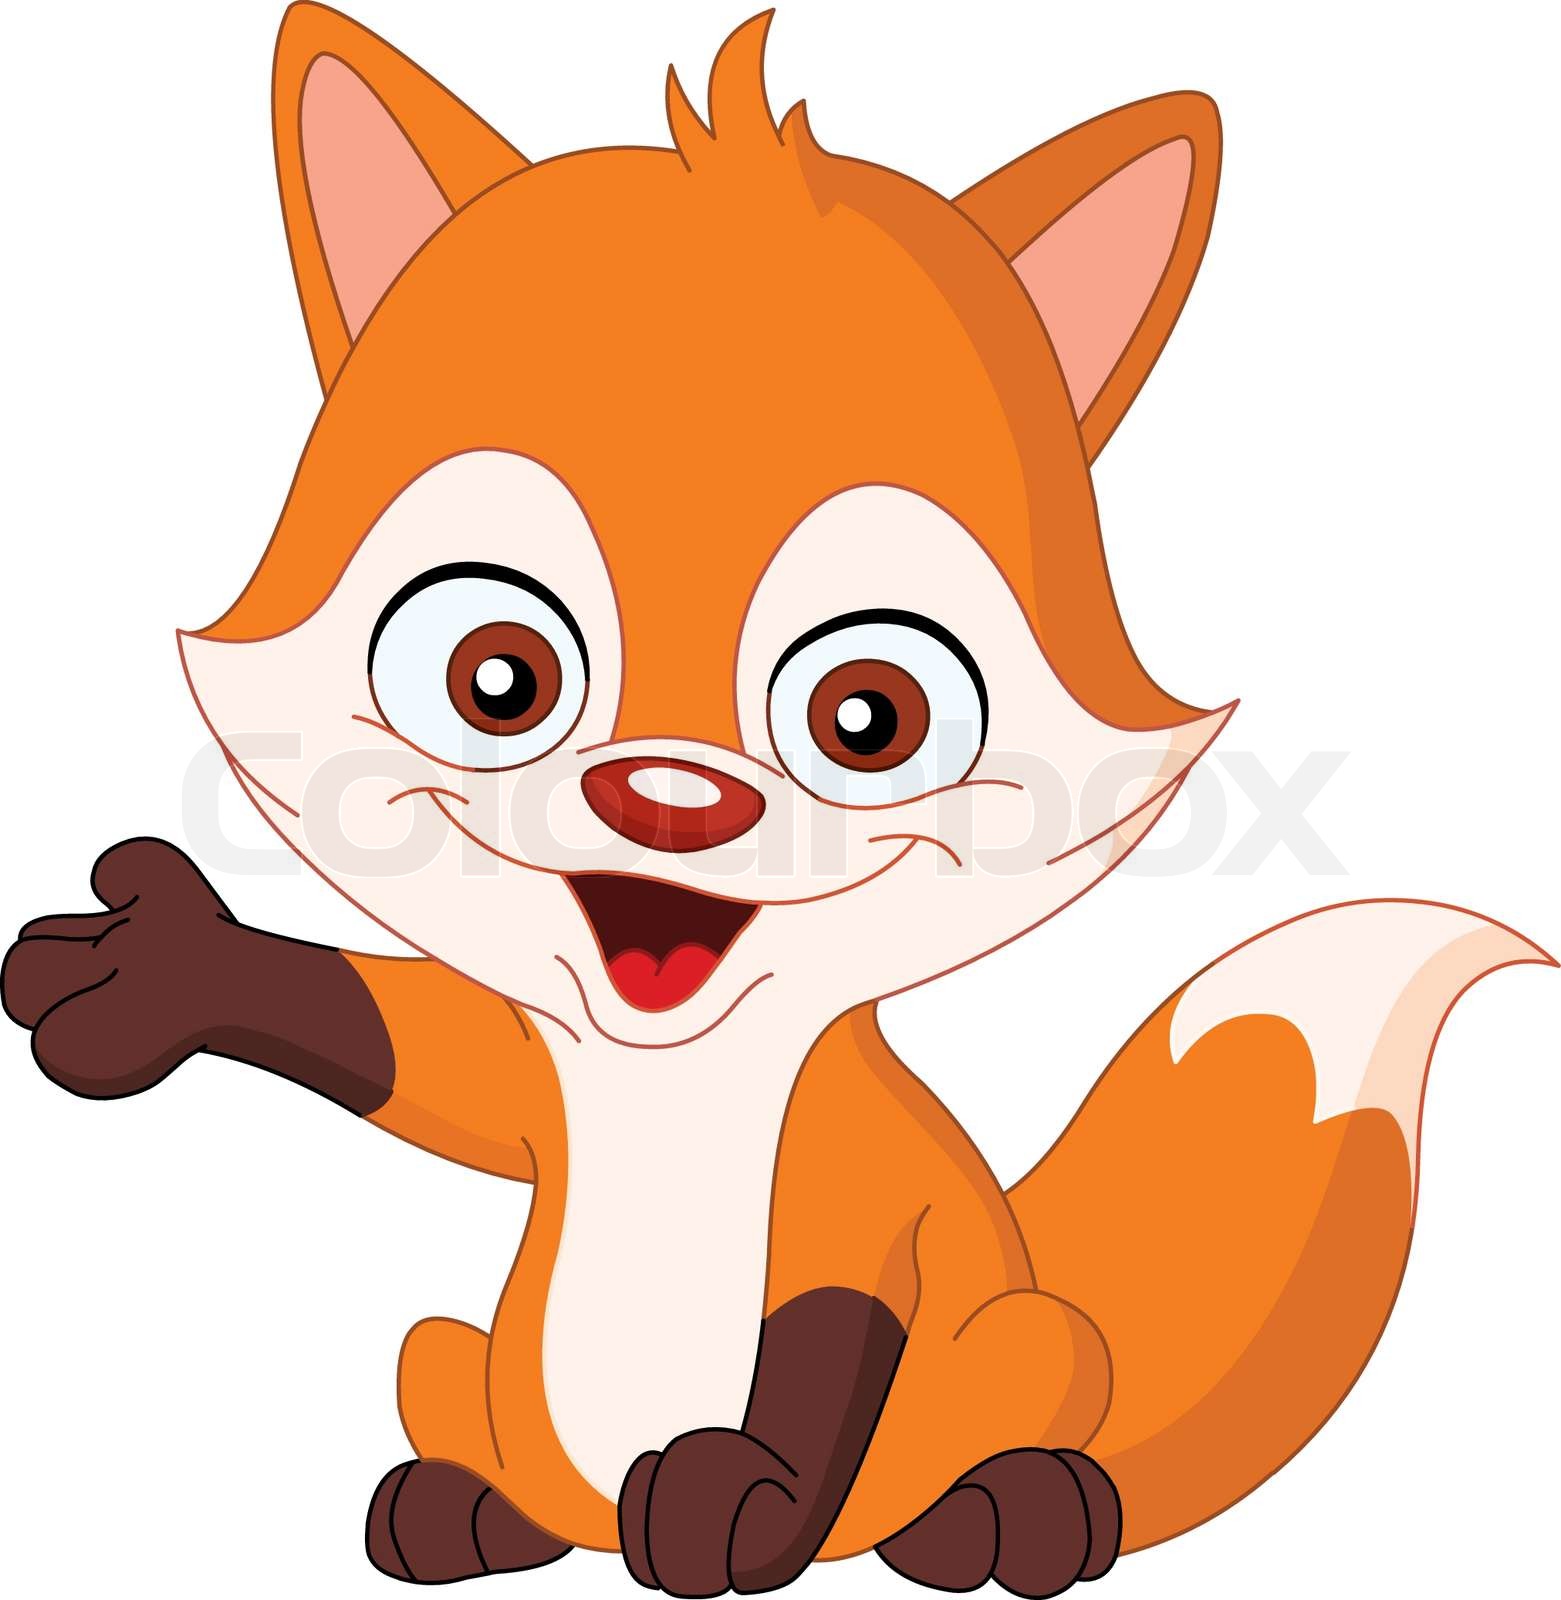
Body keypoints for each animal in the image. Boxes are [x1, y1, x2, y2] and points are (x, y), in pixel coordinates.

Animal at [2, 5, 1551, 1595]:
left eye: (868, 714)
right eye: (495, 675)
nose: (667, 799)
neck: (675, 1078)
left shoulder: (853, 1184)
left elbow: (817, 1346)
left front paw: (730, 1496)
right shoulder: (532, 1080)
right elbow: (402, 1040)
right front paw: (161, 968)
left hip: (1023, 1340)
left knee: (1025, 1405)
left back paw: (1010, 1512)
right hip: (455, 1347)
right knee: (451, 1381)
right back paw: (471, 1509)